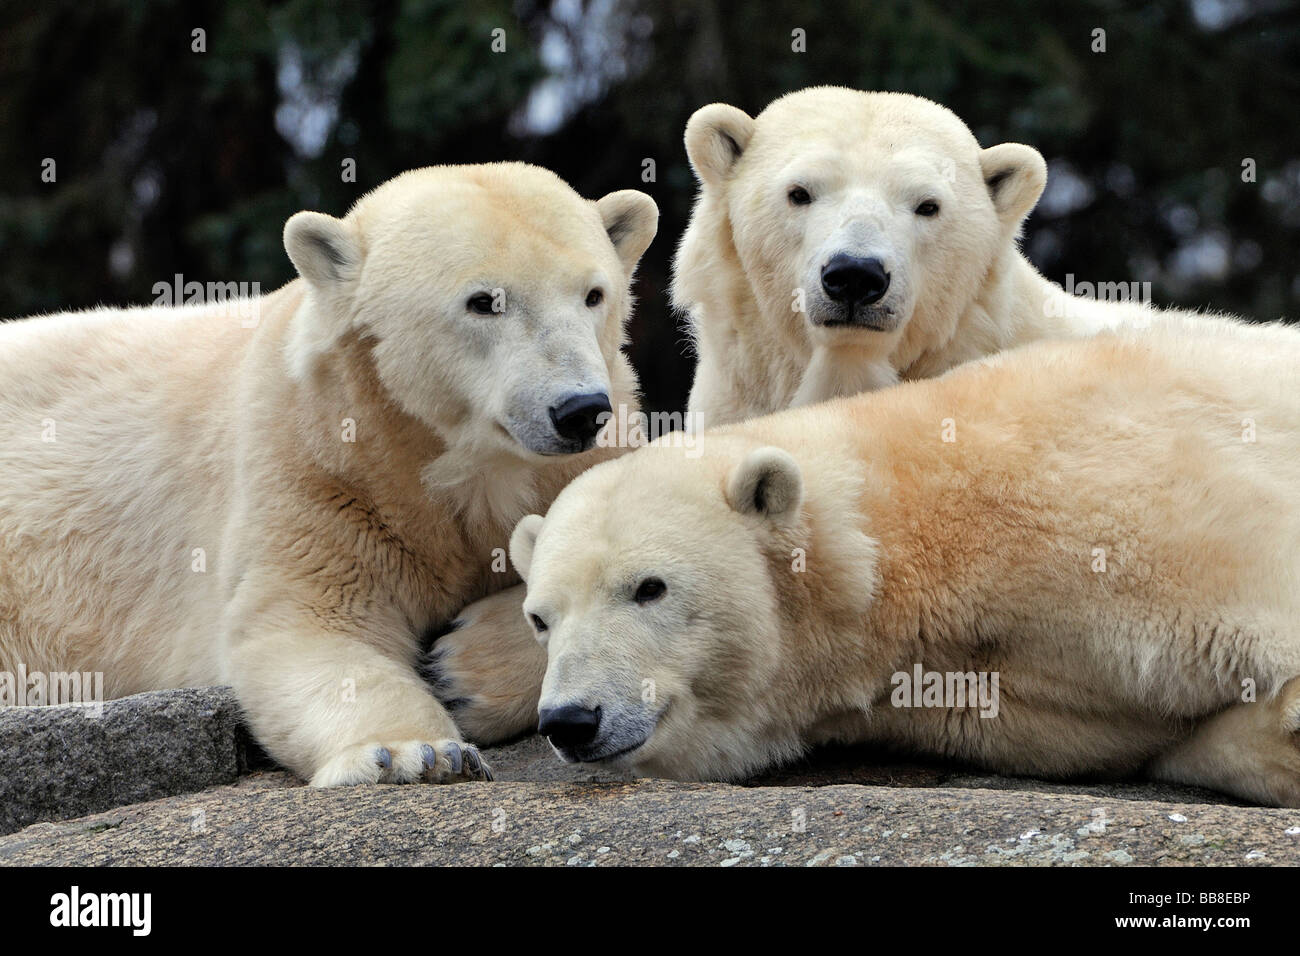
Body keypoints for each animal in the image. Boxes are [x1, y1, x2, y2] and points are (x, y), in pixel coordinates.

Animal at [0, 162, 658, 786]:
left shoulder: (593, 462)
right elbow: (308, 623)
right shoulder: (317, 466)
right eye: (484, 301)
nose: (579, 409)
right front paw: (414, 752)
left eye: (593, 294)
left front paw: (461, 670)